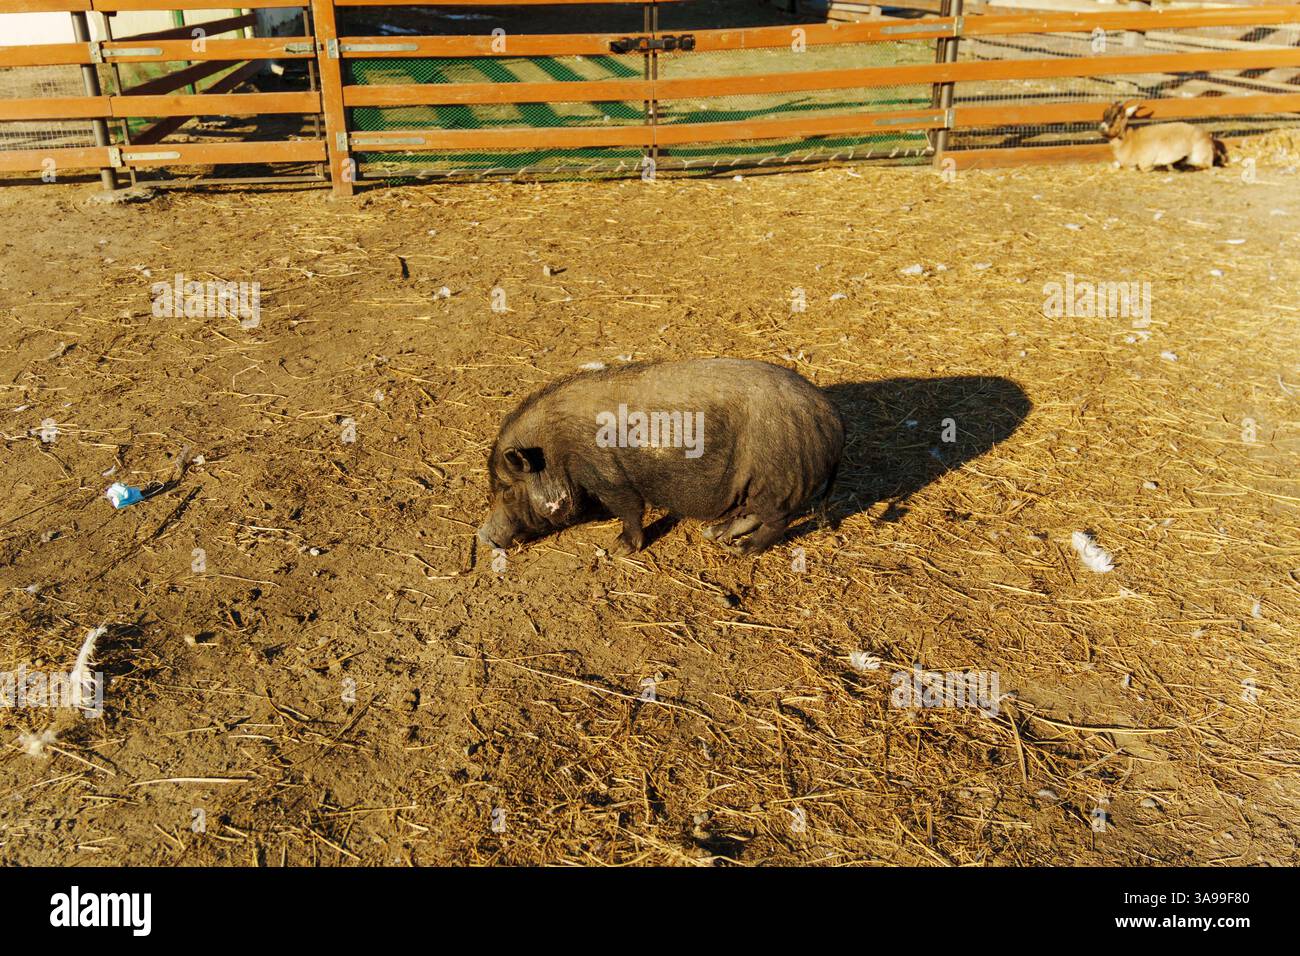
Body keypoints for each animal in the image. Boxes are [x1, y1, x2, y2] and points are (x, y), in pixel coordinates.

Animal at [478, 358, 844, 557]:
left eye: (507, 491)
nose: (482, 536)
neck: (556, 450)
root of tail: (832, 418)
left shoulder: (610, 477)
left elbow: (630, 510)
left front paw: (617, 550)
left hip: (777, 479)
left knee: (776, 520)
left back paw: (741, 551)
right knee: (753, 514)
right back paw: (714, 535)